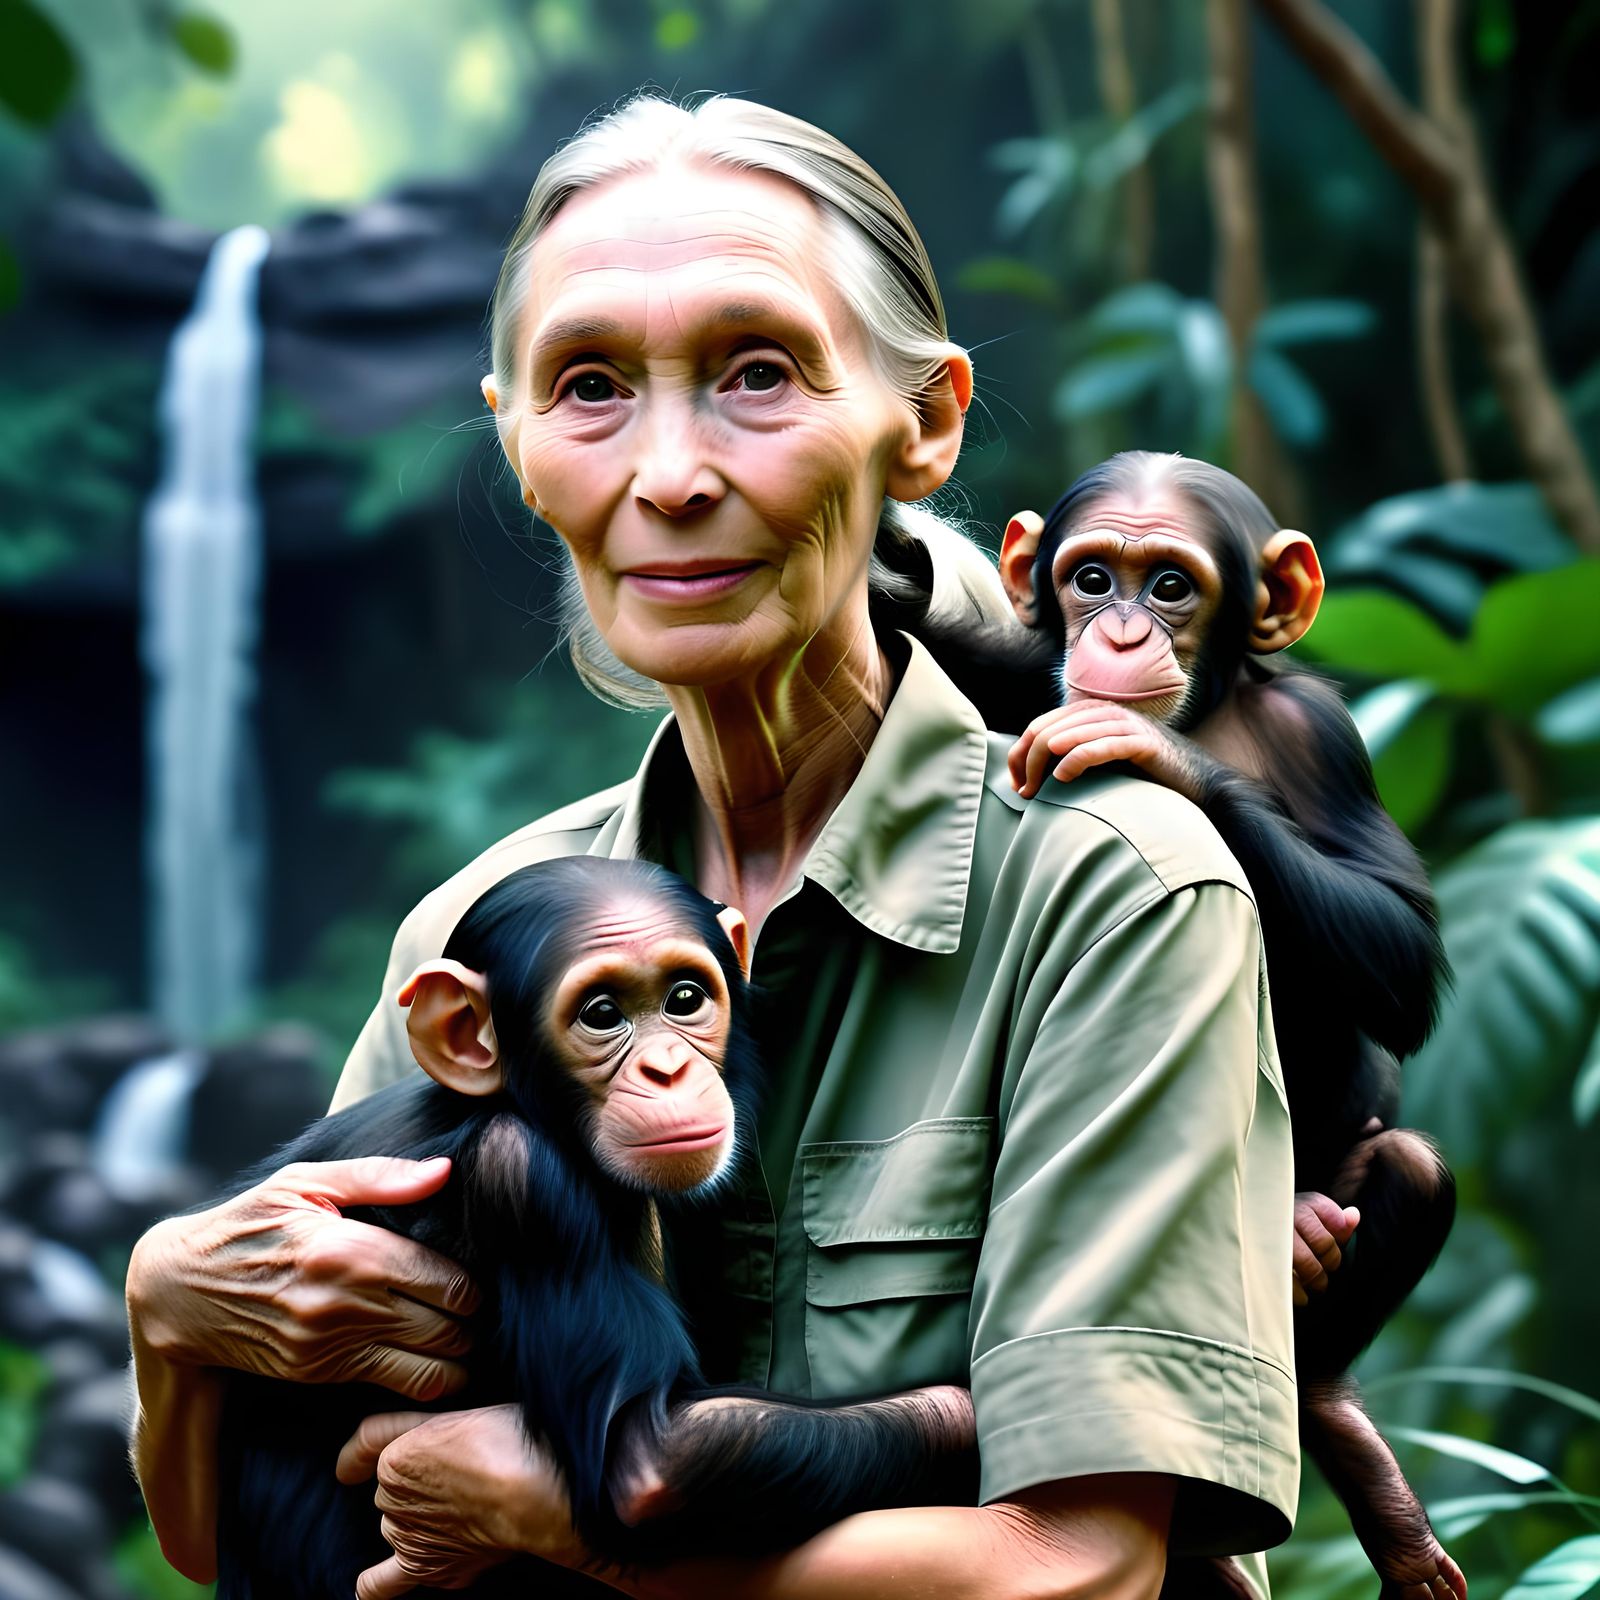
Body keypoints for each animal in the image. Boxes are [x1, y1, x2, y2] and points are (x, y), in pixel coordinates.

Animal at [212, 856, 976, 1600]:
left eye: (684, 1001)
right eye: (602, 1014)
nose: (666, 1069)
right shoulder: (524, 1180)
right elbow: (647, 1459)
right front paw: (969, 1412)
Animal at [965, 450, 1460, 1600]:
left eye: (1169, 585)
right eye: (1090, 578)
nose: (1120, 634)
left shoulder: (1322, 734)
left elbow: (1400, 943)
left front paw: (1151, 753)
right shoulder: (1019, 676)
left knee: (1411, 1169)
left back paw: (1330, 1408)